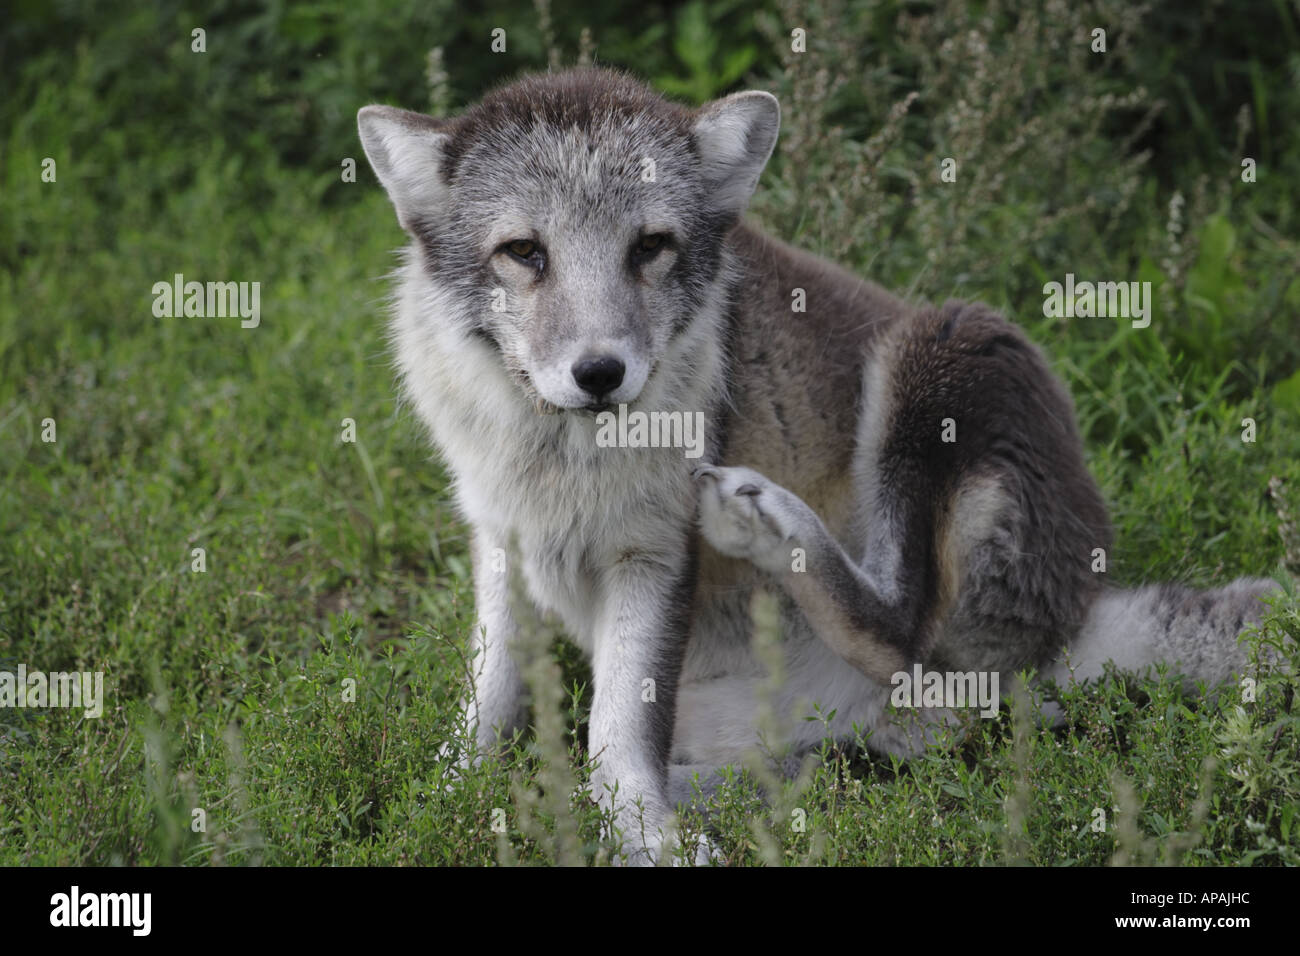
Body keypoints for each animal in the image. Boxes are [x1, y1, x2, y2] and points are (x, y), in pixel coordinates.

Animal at [356, 67, 1276, 864]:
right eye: (524, 252)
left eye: (650, 247)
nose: (601, 373)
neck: (557, 460)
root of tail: (1078, 616)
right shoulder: (502, 540)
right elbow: (491, 704)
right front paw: (448, 799)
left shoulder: (655, 555)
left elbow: (613, 739)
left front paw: (647, 844)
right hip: (756, 718)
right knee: (839, 758)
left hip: (939, 349)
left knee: (908, 631)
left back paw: (766, 527)